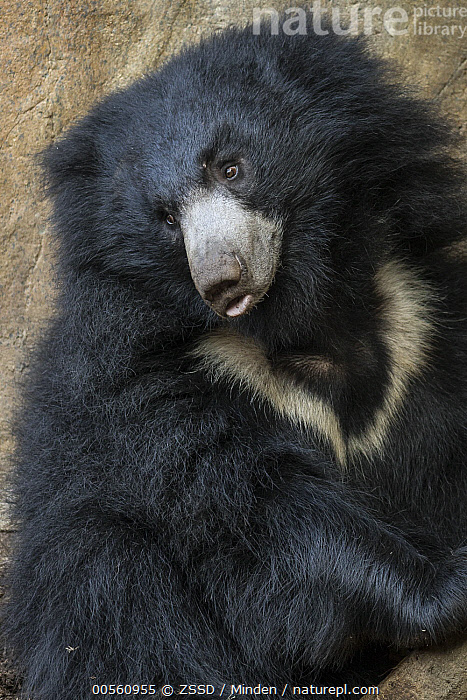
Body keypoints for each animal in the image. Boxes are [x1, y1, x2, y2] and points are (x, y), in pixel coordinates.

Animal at [5, 18, 467, 700]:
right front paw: (447, 586)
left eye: (231, 168)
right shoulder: (162, 385)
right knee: (108, 583)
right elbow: (258, 514)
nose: (220, 280)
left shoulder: (422, 316)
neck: (300, 319)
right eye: (166, 217)